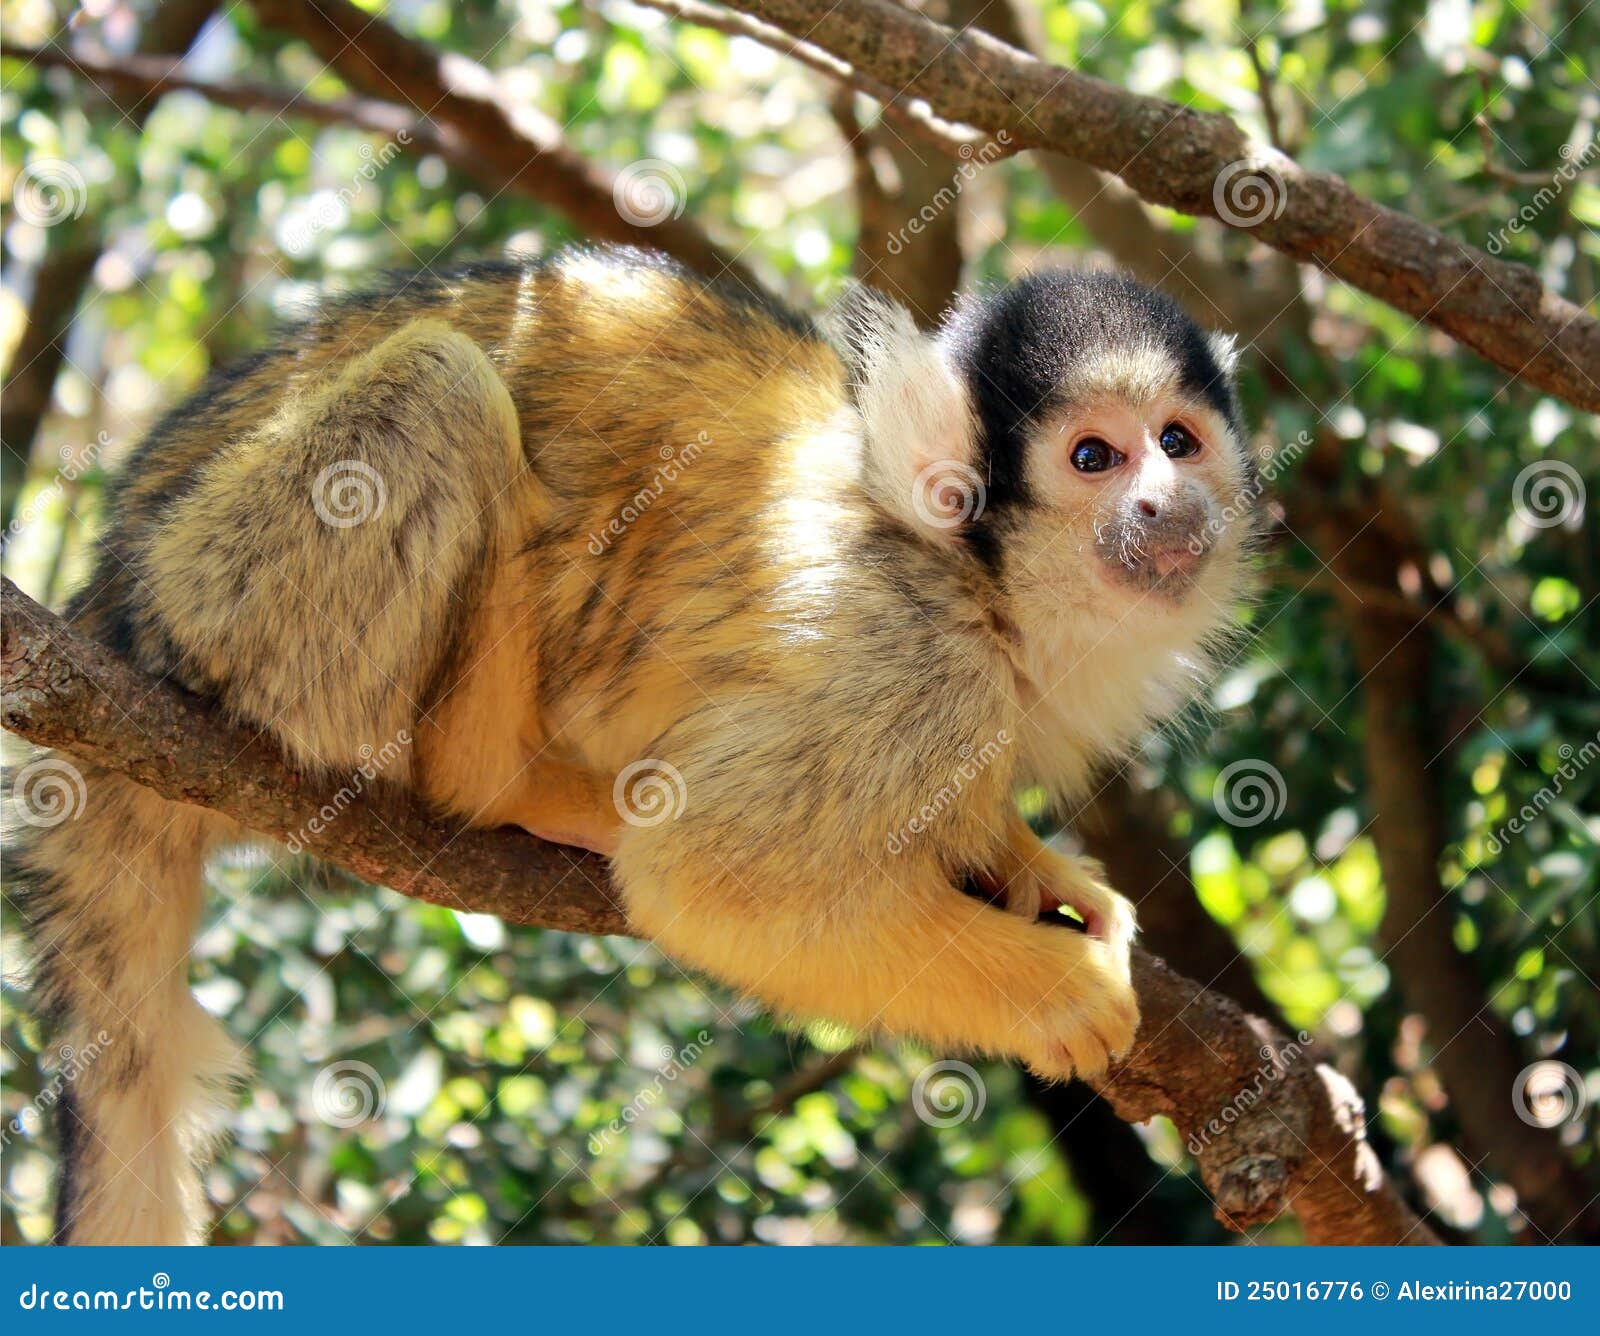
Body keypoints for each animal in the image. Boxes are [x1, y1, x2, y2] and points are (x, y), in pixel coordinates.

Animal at [11, 246, 1257, 1244]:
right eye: (1095, 458)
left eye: (1177, 442)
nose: (1166, 505)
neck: (978, 578)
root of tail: (110, 607)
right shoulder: (902, 661)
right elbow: (709, 882)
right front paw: (1057, 991)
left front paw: (1025, 861)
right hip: (226, 595)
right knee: (445, 389)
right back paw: (501, 779)